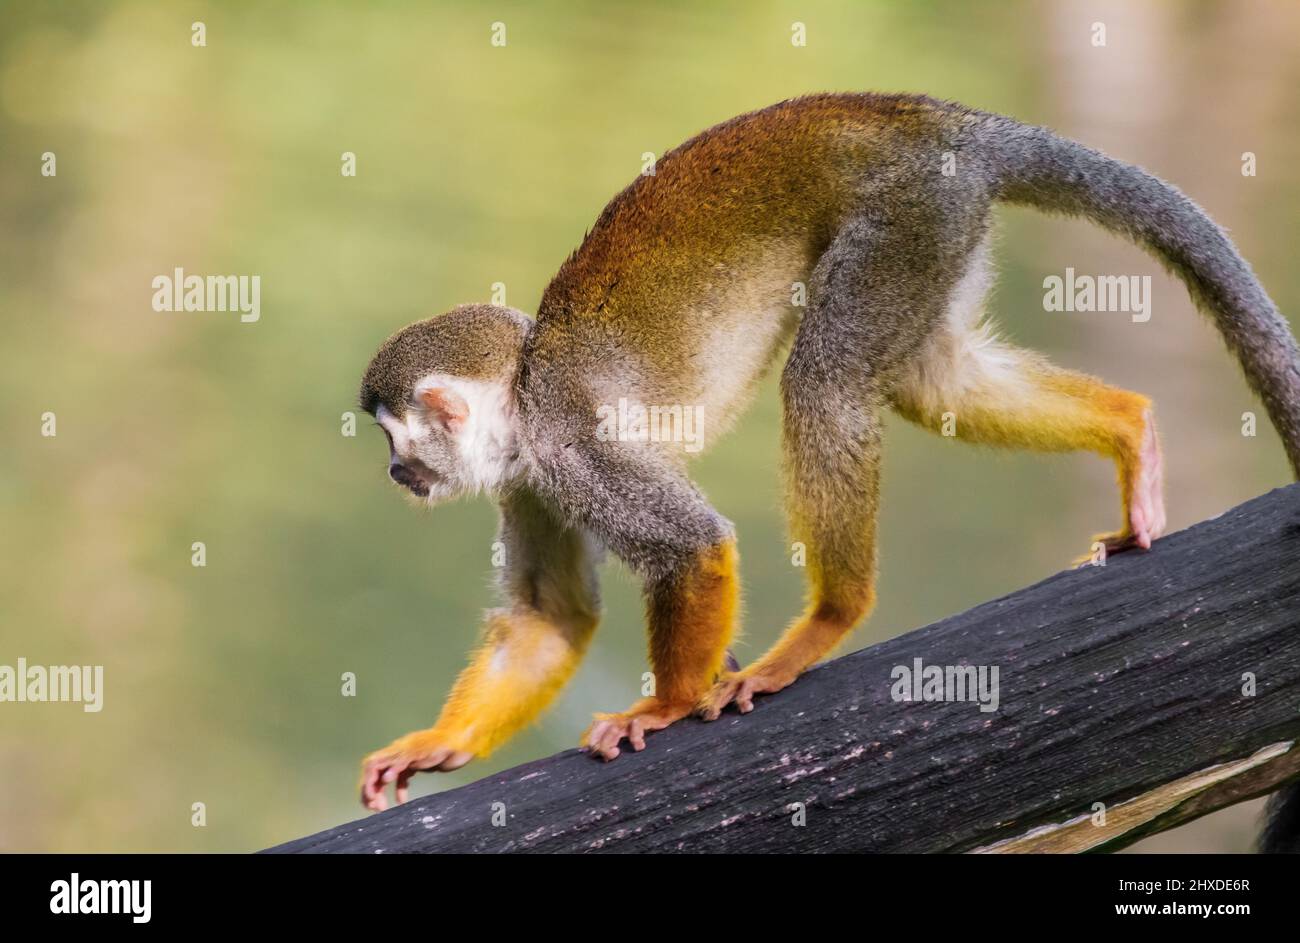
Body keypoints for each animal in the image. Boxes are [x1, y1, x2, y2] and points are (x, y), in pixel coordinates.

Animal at [355, 93, 1300, 812]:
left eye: (397, 440)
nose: (398, 473)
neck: (521, 398)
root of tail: (942, 120)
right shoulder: (532, 481)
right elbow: (553, 616)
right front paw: (436, 743)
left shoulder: (570, 449)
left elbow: (691, 544)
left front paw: (665, 705)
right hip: (941, 231)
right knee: (930, 377)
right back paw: (1130, 429)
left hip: (904, 217)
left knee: (827, 377)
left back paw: (827, 620)